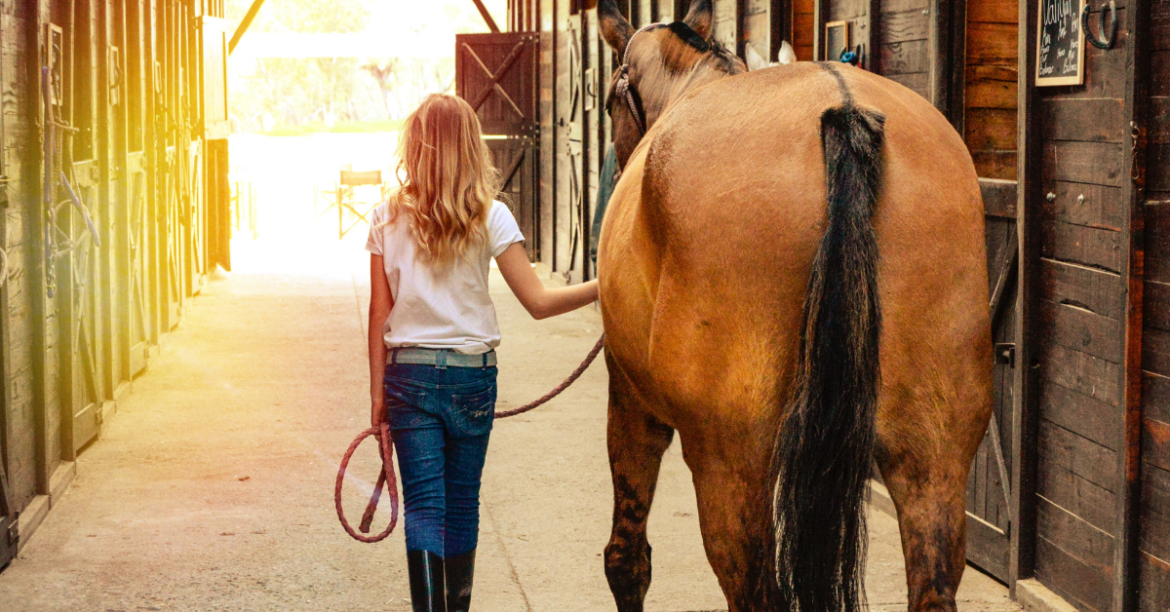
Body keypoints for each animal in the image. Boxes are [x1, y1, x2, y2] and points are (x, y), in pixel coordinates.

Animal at [590, 1, 994, 611]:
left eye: (613, 99)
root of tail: (844, 110)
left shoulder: (632, 398)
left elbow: (627, 559)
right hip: (935, 456)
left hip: (730, 464)